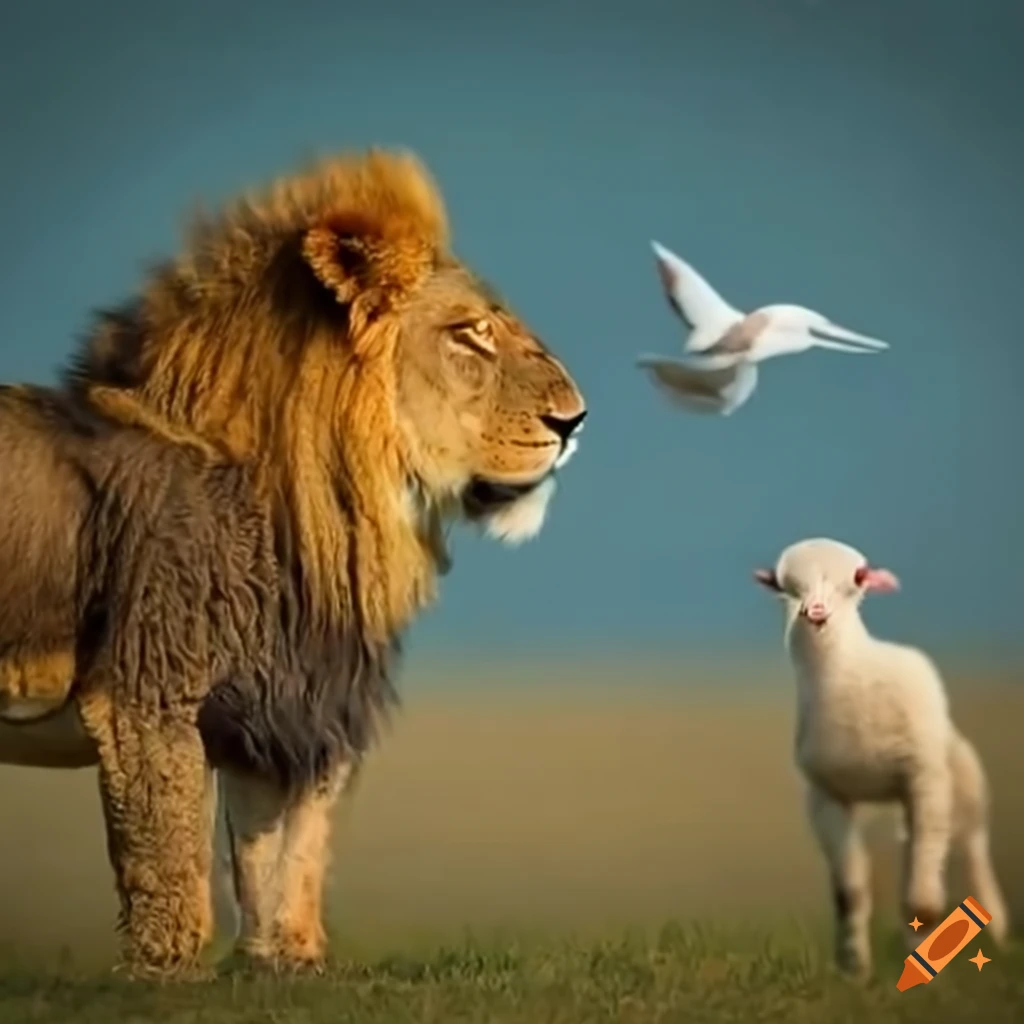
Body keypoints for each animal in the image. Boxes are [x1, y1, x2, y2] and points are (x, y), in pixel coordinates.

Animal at [0, 148, 586, 976]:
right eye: (470, 335)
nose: (575, 421)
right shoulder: (143, 692)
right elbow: (168, 860)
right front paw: (161, 976)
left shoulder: (280, 703)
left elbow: (283, 854)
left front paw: (286, 963)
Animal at [753, 536, 1009, 976]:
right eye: (785, 586)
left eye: (858, 577)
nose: (815, 612)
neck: (847, 677)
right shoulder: (826, 794)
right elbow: (850, 895)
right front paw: (854, 968)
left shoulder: (924, 778)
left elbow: (923, 900)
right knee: (914, 856)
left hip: (963, 791)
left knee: (971, 853)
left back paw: (996, 934)